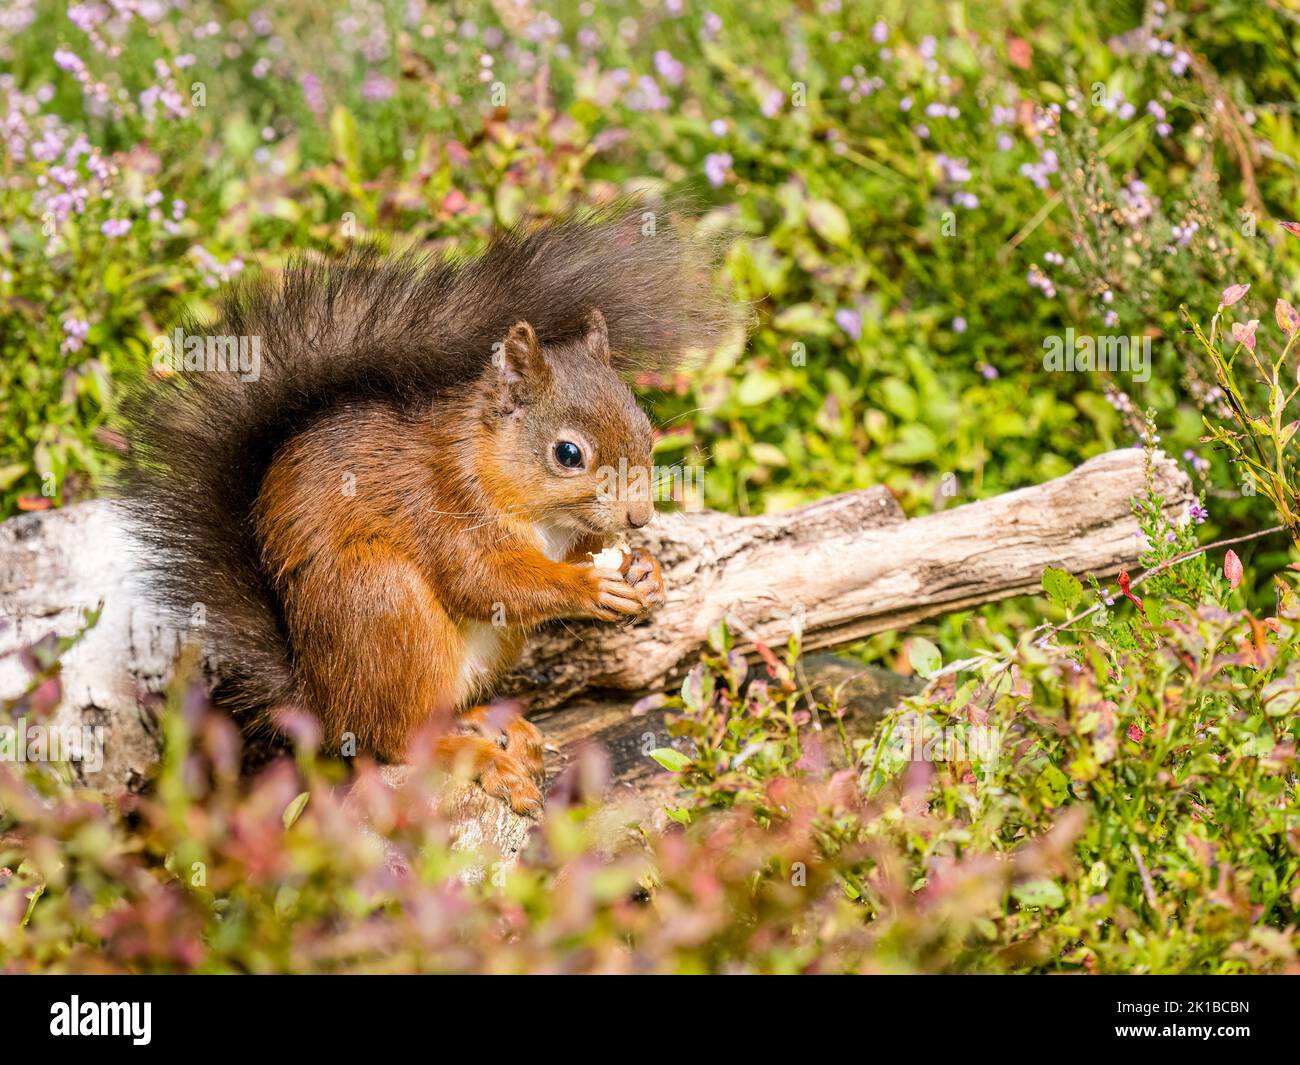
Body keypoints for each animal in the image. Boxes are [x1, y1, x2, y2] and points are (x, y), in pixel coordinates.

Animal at [119, 203, 733, 815]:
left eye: (646, 431)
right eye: (568, 454)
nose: (639, 518)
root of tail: (320, 705)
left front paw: (647, 570)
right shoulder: (444, 502)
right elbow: (484, 579)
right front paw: (588, 586)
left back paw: (490, 721)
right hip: (383, 601)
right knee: (396, 742)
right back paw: (477, 756)